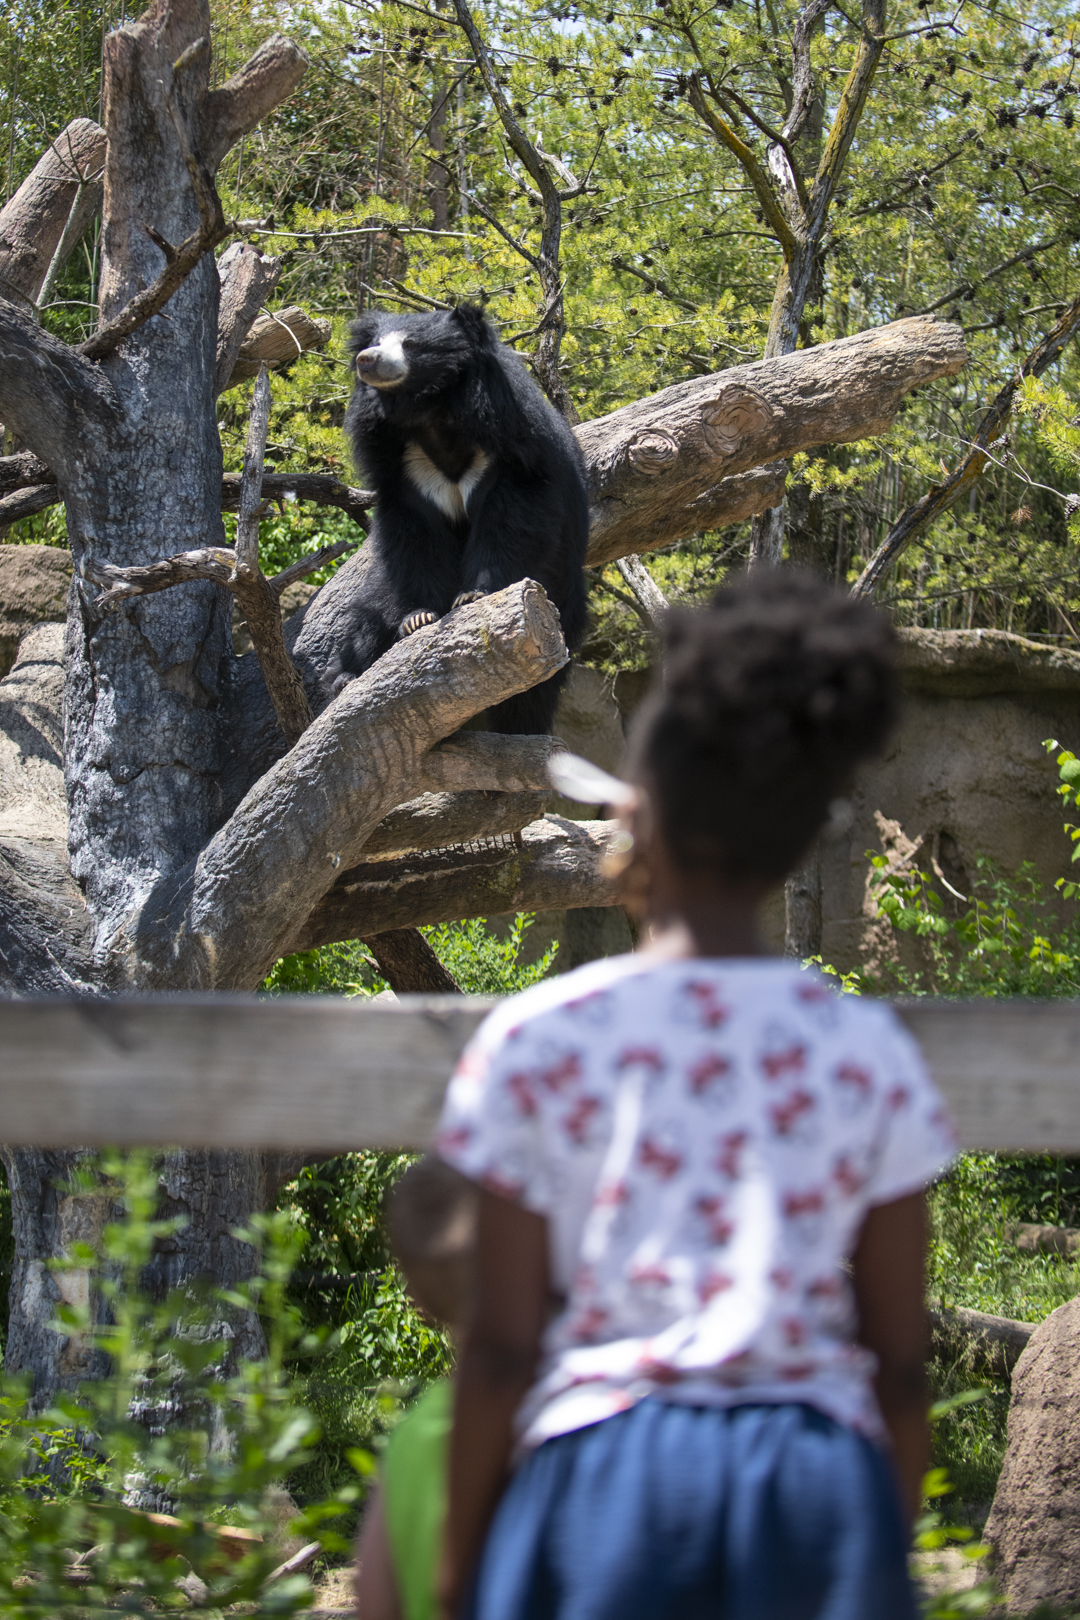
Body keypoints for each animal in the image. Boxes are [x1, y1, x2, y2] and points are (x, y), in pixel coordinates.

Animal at [326, 302, 589, 735]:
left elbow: (511, 523)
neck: (431, 415)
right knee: (366, 619)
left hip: (563, 603)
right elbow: (415, 536)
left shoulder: (509, 448)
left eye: (411, 345)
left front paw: (472, 595)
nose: (367, 360)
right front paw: (419, 618)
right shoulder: (403, 468)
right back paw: (346, 678)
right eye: (375, 341)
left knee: (536, 688)